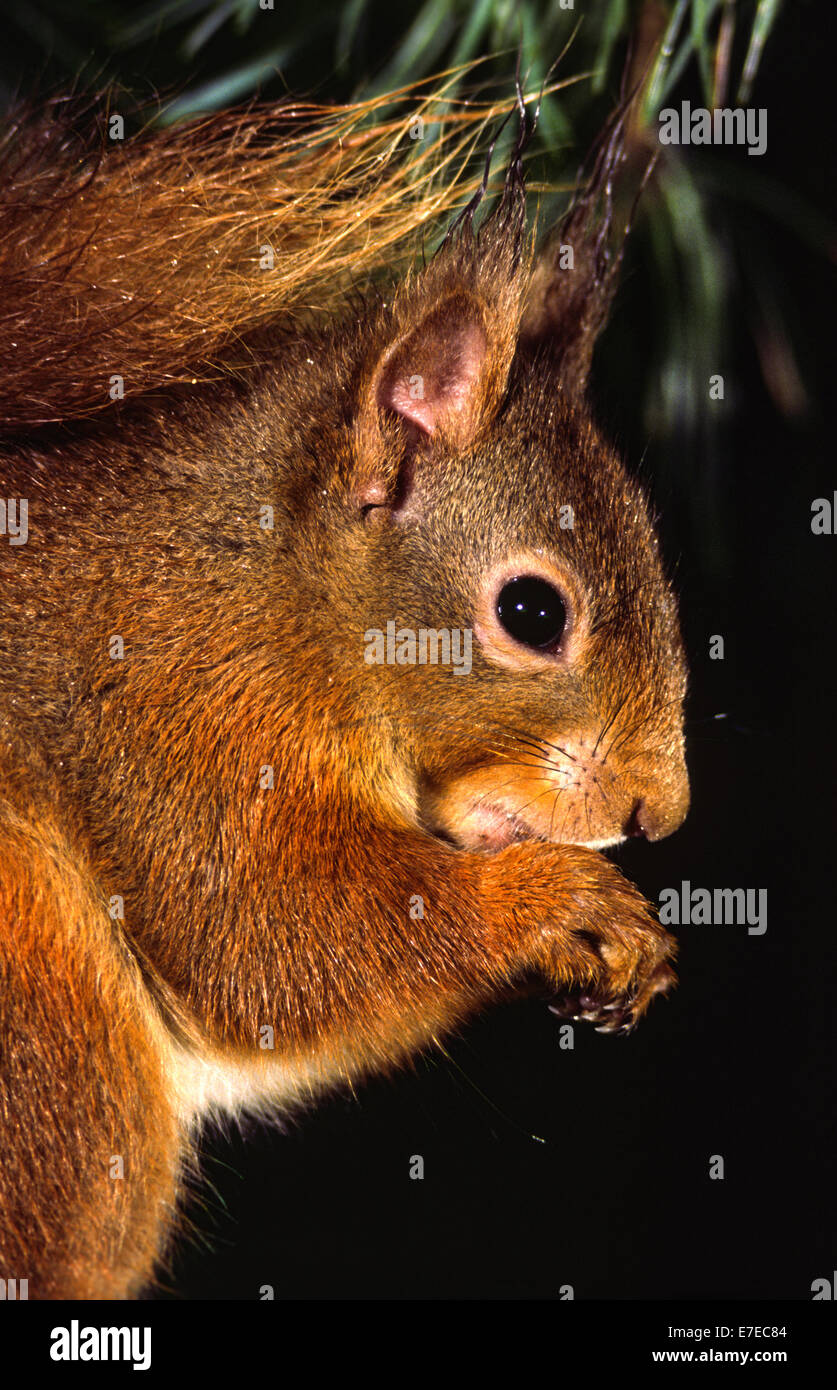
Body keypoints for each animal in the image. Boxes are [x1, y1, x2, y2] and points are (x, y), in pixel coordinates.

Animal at [0, 77, 689, 1300]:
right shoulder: (183, 710)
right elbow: (267, 941)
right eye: (532, 613)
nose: (660, 810)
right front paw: (553, 903)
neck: (286, 589)